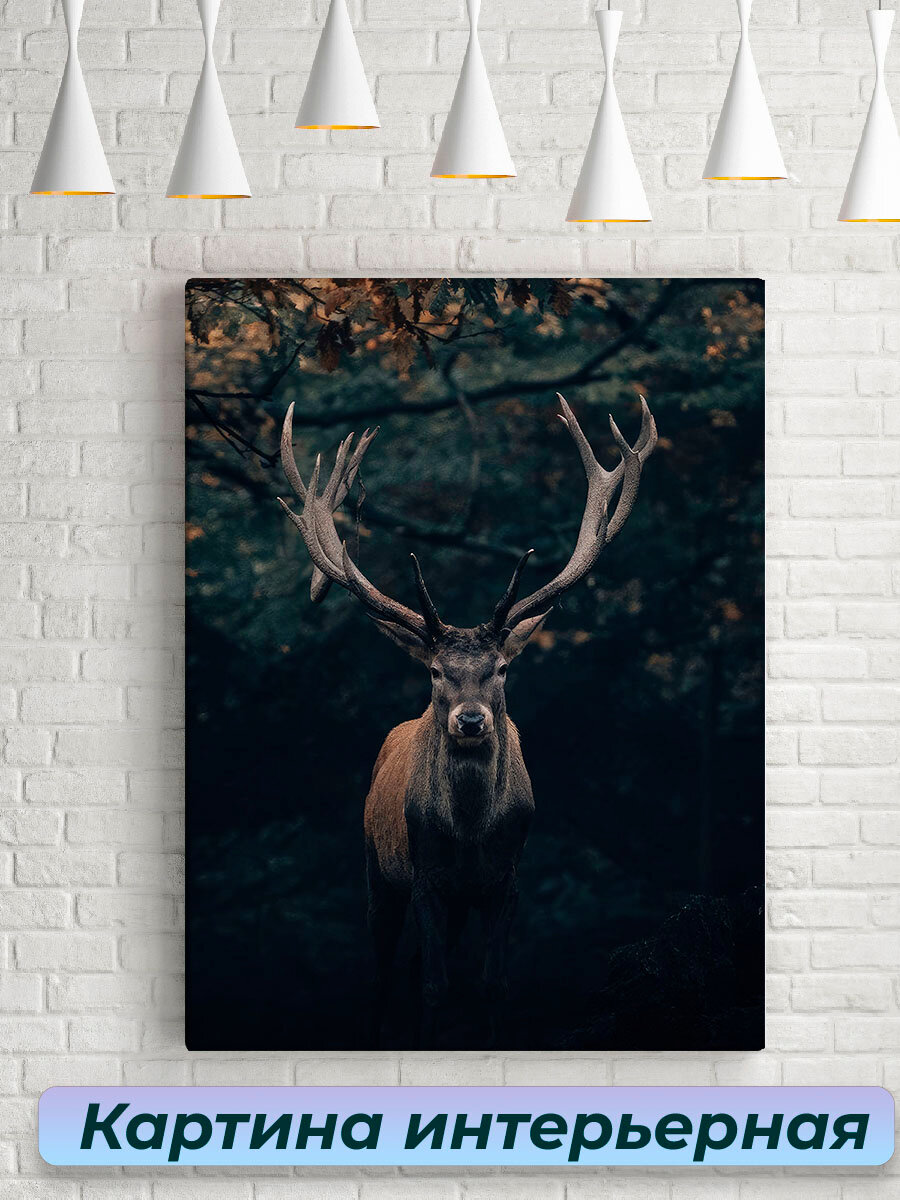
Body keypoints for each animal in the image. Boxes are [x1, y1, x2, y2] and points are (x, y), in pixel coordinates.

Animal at [277, 393, 657, 1046]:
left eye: (501, 668)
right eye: (434, 671)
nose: (472, 722)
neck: (473, 835)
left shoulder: (506, 882)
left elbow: (492, 985)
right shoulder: (426, 877)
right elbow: (435, 986)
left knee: (407, 969)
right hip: (377, 869)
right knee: (384, 971)